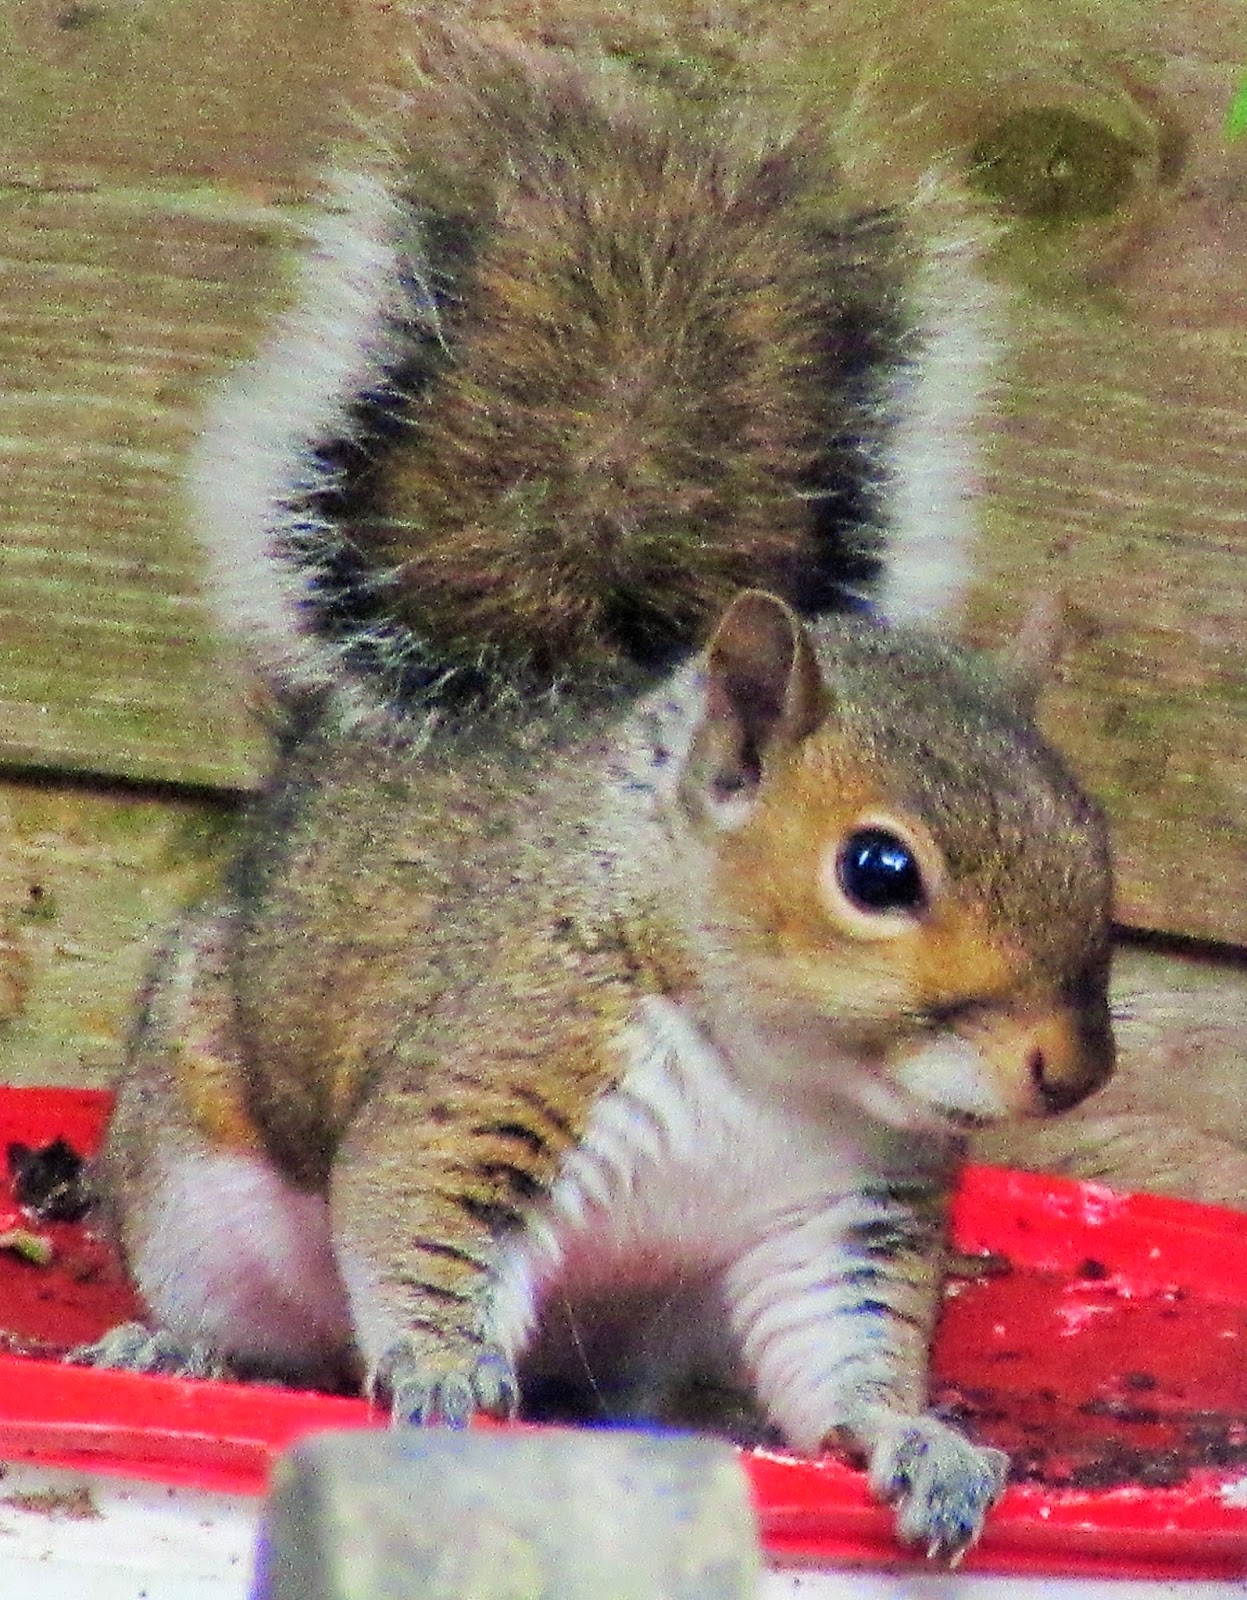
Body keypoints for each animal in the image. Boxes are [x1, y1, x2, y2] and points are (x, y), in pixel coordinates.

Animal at [74, 22, 1116, 1563]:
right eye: (877, 871)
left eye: (1092, 834)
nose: (1068, 1066)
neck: (770, 1065)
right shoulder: (498, 1066)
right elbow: (417, 1221)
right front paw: (441, 1381)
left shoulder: (838, 1213)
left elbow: (840, 1357)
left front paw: (921, 1445)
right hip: (197, 1183)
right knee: (254, 1322)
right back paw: (178, 1348)